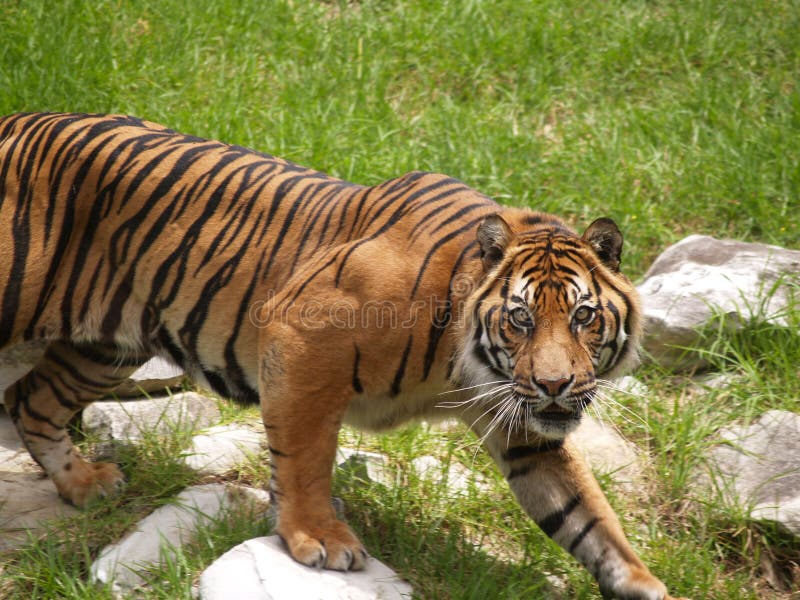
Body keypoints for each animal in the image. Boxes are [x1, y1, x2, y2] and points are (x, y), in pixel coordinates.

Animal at [0, 112, 683, 599]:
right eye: (520, 319)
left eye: (583, 317)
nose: (554, 386)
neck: (467, 365)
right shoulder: (301, 340)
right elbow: (306, 457)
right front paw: (319, 539)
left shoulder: (524, 426)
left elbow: (586, 514)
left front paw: (642, 582)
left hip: (106, 344)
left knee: (33, 401)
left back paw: (83, 484)